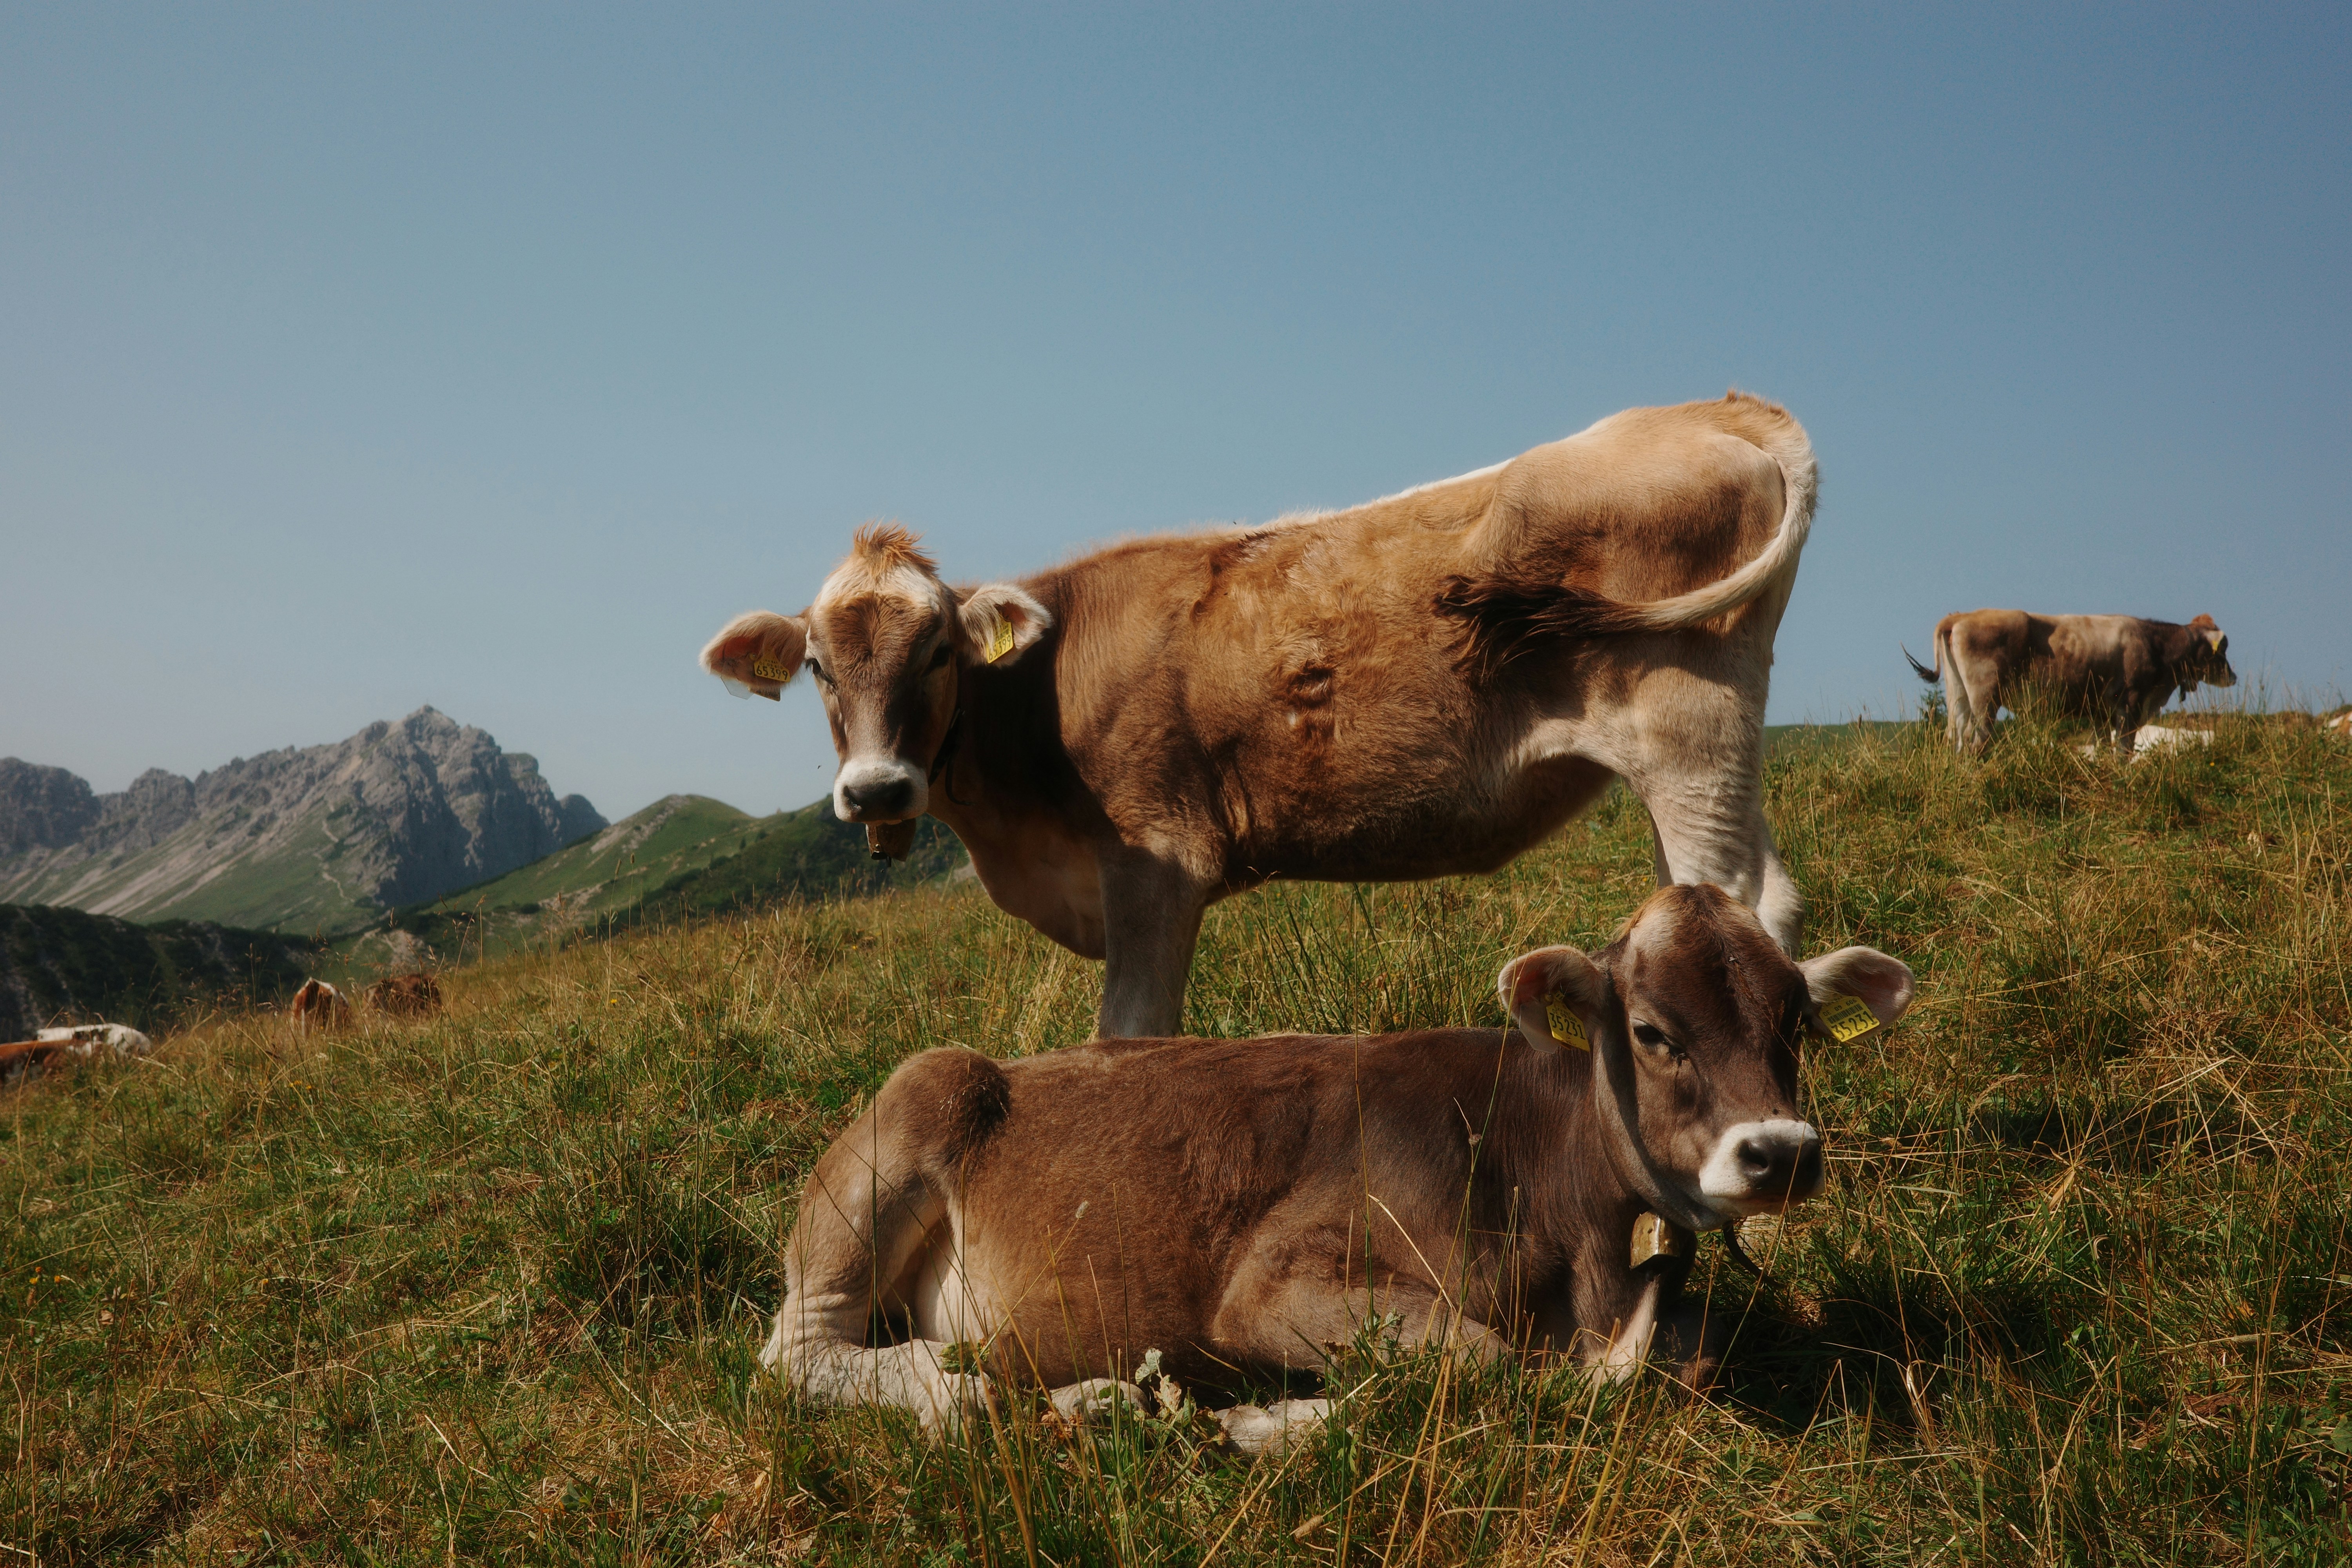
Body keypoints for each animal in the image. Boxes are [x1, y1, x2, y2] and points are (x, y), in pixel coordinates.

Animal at [703, 391, 1819, 1037]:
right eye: (817, 667)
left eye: (938, 650)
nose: (875, 790)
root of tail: (1705, 407)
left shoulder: (1157, 859)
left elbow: (1132, 1033)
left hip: (1687, 724)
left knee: (1737, 897)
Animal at [757, 884, 1913, 1451]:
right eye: (1652, 1030)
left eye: (1796, 1023)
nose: (1780, 1151)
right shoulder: (1273, 1283)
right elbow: (1482, 1360)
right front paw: (1253, 1420)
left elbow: (1681, 1348)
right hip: (909, 1123)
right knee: (797, 1356)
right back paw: (963, 1388)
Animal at [1906, 610, 2237, 756]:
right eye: (2222, 650)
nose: (2233, 676)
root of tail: (1961, 616)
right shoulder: (2130, 704)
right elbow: (2124, 751)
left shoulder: (2102, 713)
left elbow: (2105, 749)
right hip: (1986, 697)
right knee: (1976, 740)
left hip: (1959, 695)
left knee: (1955, 738)